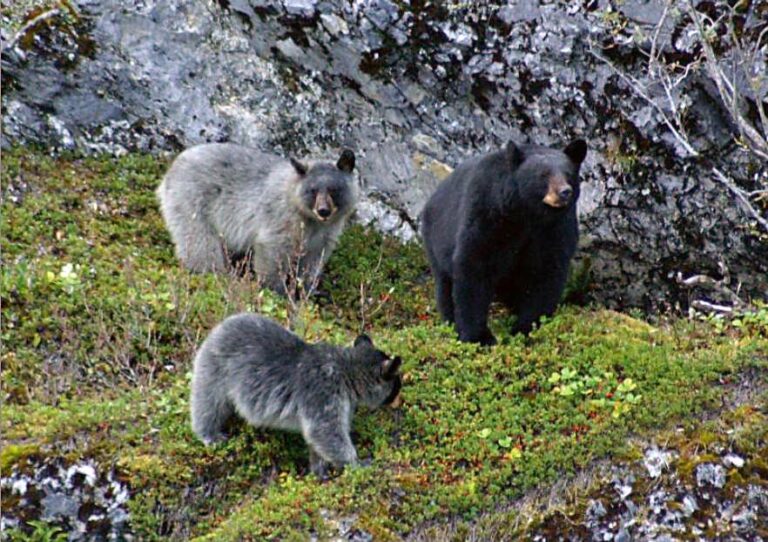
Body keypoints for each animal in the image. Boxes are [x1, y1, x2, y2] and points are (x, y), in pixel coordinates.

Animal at [156, 144, 358, 294]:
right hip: (191, 203)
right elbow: (272, 250)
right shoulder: (281, 217)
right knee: (200, 242)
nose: (323, 211)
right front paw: (277, 289)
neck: (310, 219)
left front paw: (306, 290)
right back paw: (212, 272)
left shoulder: (325, 235)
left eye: (334, 189)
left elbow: (313, 260)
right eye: (313, 190)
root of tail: (172, 168)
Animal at [190, 313, 402, 476]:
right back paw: (209, 433)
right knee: (208, 404)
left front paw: (319, 469)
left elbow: (317, 439)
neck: (346, 370)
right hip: (213, 372)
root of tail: (218, 328)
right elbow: (326, 433)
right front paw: (357, 463)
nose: (397, 398)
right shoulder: (324, 393)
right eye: (396, 384)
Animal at [420, 139, 588, 345]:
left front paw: (526, 329)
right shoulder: (488, 211)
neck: (528, 213)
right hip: (436, 241)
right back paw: (450, 324)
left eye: (568, 174)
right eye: (543, 175)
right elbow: (475, 264)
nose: (565, 192)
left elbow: (546, 272)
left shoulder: (556, 228)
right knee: (445, 286)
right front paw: (478, 336)